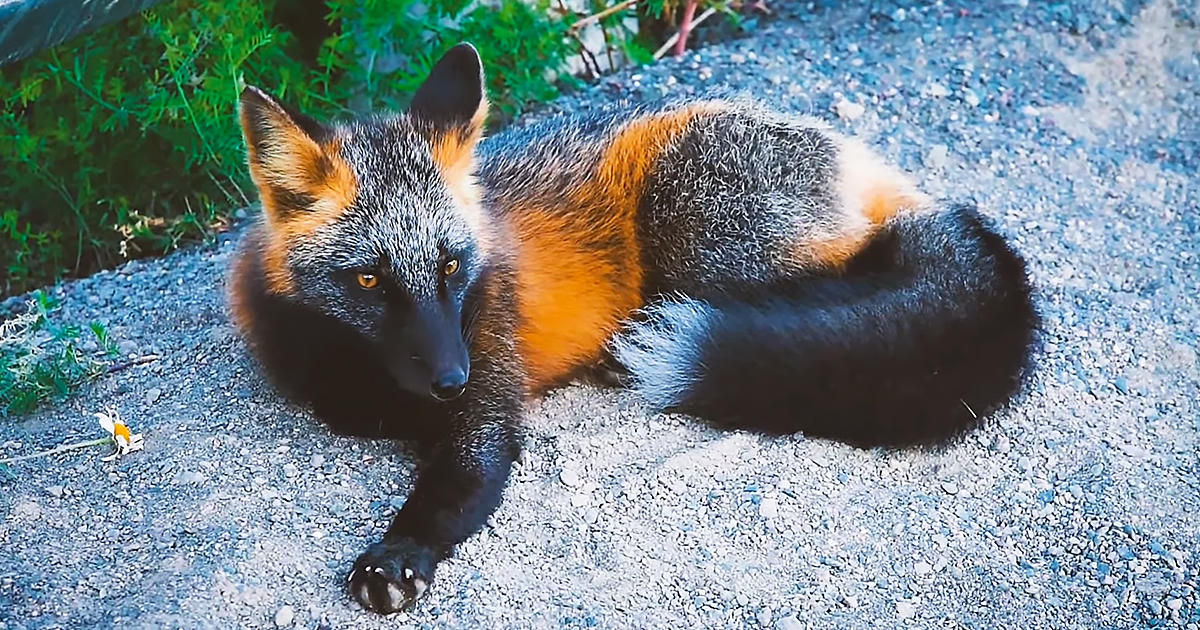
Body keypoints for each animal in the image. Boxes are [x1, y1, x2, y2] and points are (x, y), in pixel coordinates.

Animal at [227, 43, 1038, 614]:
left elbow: (457, 483)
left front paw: (399, 553)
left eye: (452, 266)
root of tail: (862, 162)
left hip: (694, 232)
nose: (451, 379)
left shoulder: (489, 395)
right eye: (369, 280)